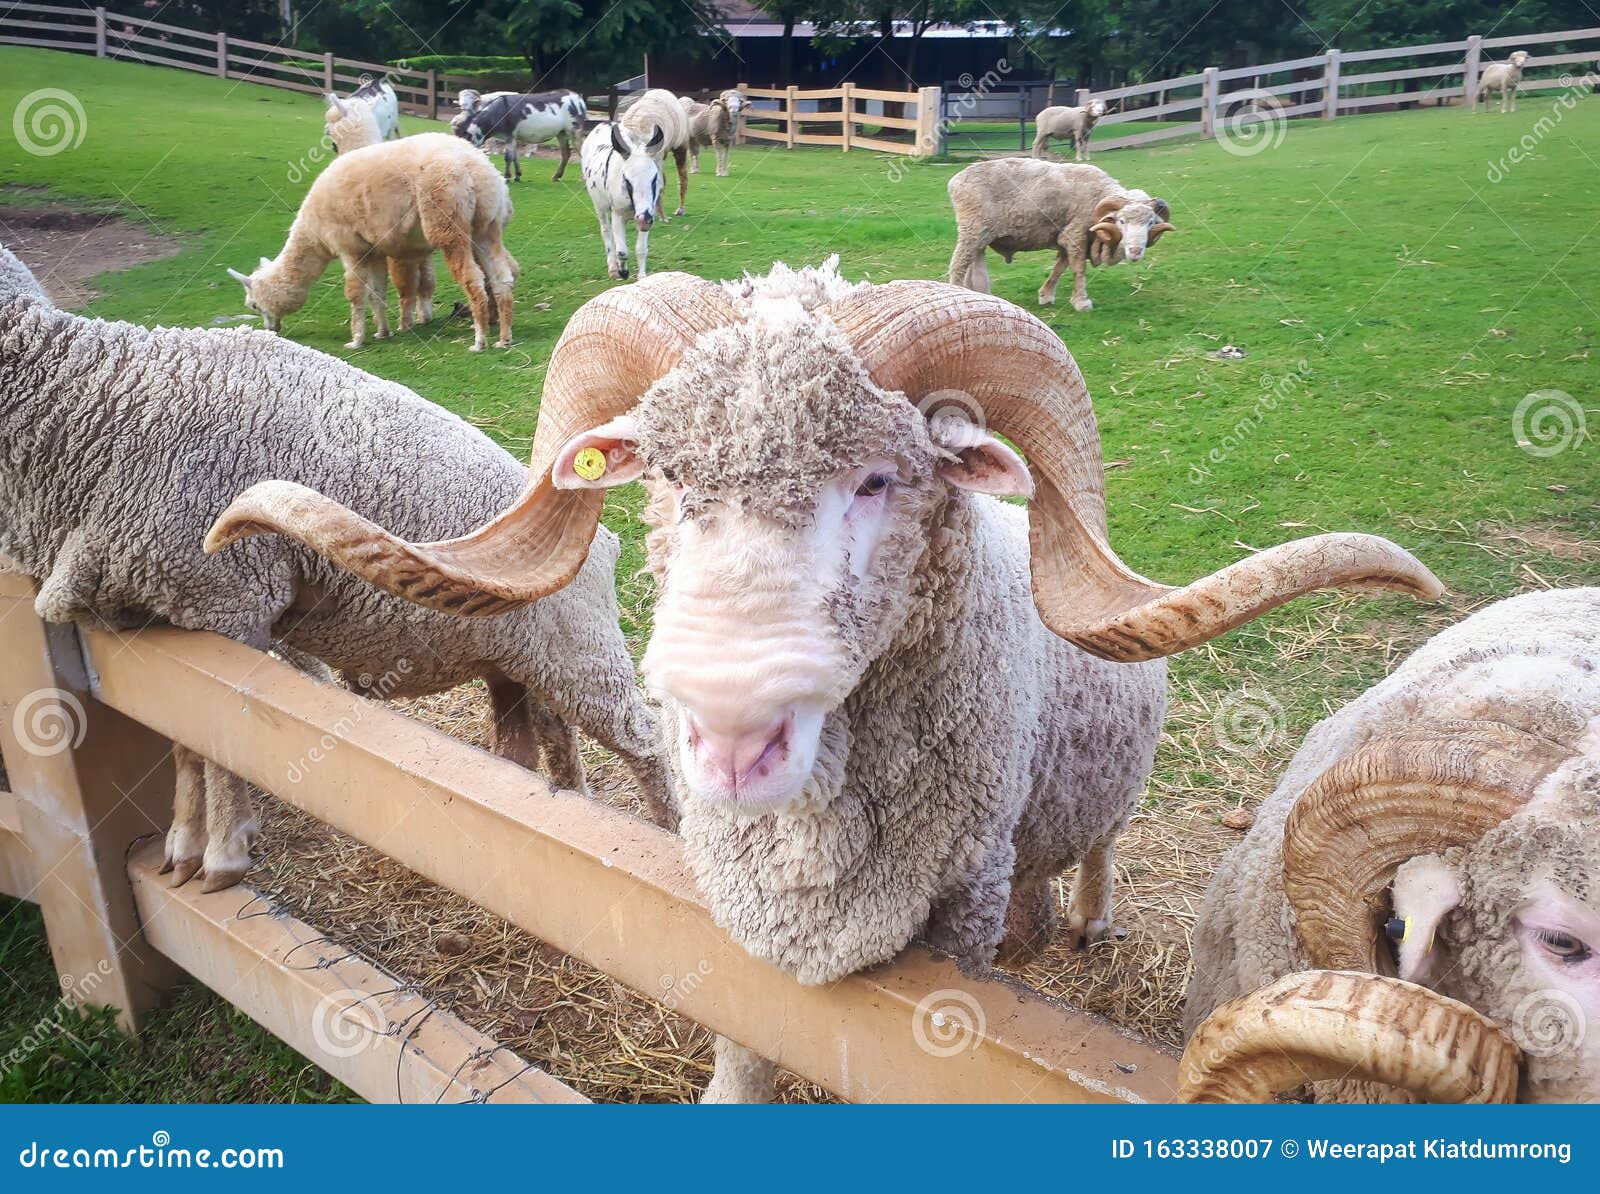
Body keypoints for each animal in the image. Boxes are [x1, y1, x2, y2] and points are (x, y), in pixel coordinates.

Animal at [0, 247, 671, 893]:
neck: (94, 399)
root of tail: (598, 536)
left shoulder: (229, 602)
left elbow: (211, 734)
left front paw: (220, 854)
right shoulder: (152, 616)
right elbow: (179, 732)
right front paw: (184, 847)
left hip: (584, 657)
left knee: (645, 740)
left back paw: (666, 835)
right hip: (519, 661)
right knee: (536, 739)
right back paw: (568, 806)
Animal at [204, 259, 1443, 1103]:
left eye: (882, 478)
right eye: (663, 475)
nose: (728, 734)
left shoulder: (951, 927)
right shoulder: (747, 935)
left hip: (1099, 798)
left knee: (1095, 848)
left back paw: (1088, 926)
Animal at [227, 133, 517, 352]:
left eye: (254, 305)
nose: (271, 329)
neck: (314, 234)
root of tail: (477, 168)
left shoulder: (350, 247)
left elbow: (356, 293)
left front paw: (356, 340)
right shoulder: (374, 250)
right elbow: (377, 292)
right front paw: (382, 332)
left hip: (447, 223)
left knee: (473, 278)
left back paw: (479, 341)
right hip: (485, 228)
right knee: (501, 276)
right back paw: (503, 338)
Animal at [580, 121, 664, 280]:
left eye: (654, 178)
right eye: (626, 179)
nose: (643, 219)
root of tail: (606, 123)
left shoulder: (648, 216)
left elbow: (641, 249)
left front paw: (642, 277)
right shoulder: (617, 215)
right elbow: (622, 251)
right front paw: (623, 272)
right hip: (600, 207)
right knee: (606, 232)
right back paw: (613, 268)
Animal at [947, 158, 1174, 311]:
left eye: (1150, 223)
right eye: (1122, 221)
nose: (1135, 251)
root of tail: (955, 181)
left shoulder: (1067, 235)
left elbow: (1060, 266)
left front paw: (1046, 295)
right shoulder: (1075, 234)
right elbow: (1078, 268)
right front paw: (1082, 302)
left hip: (980, 236)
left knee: (974, 268)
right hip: (971, 229)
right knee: (958, 265)